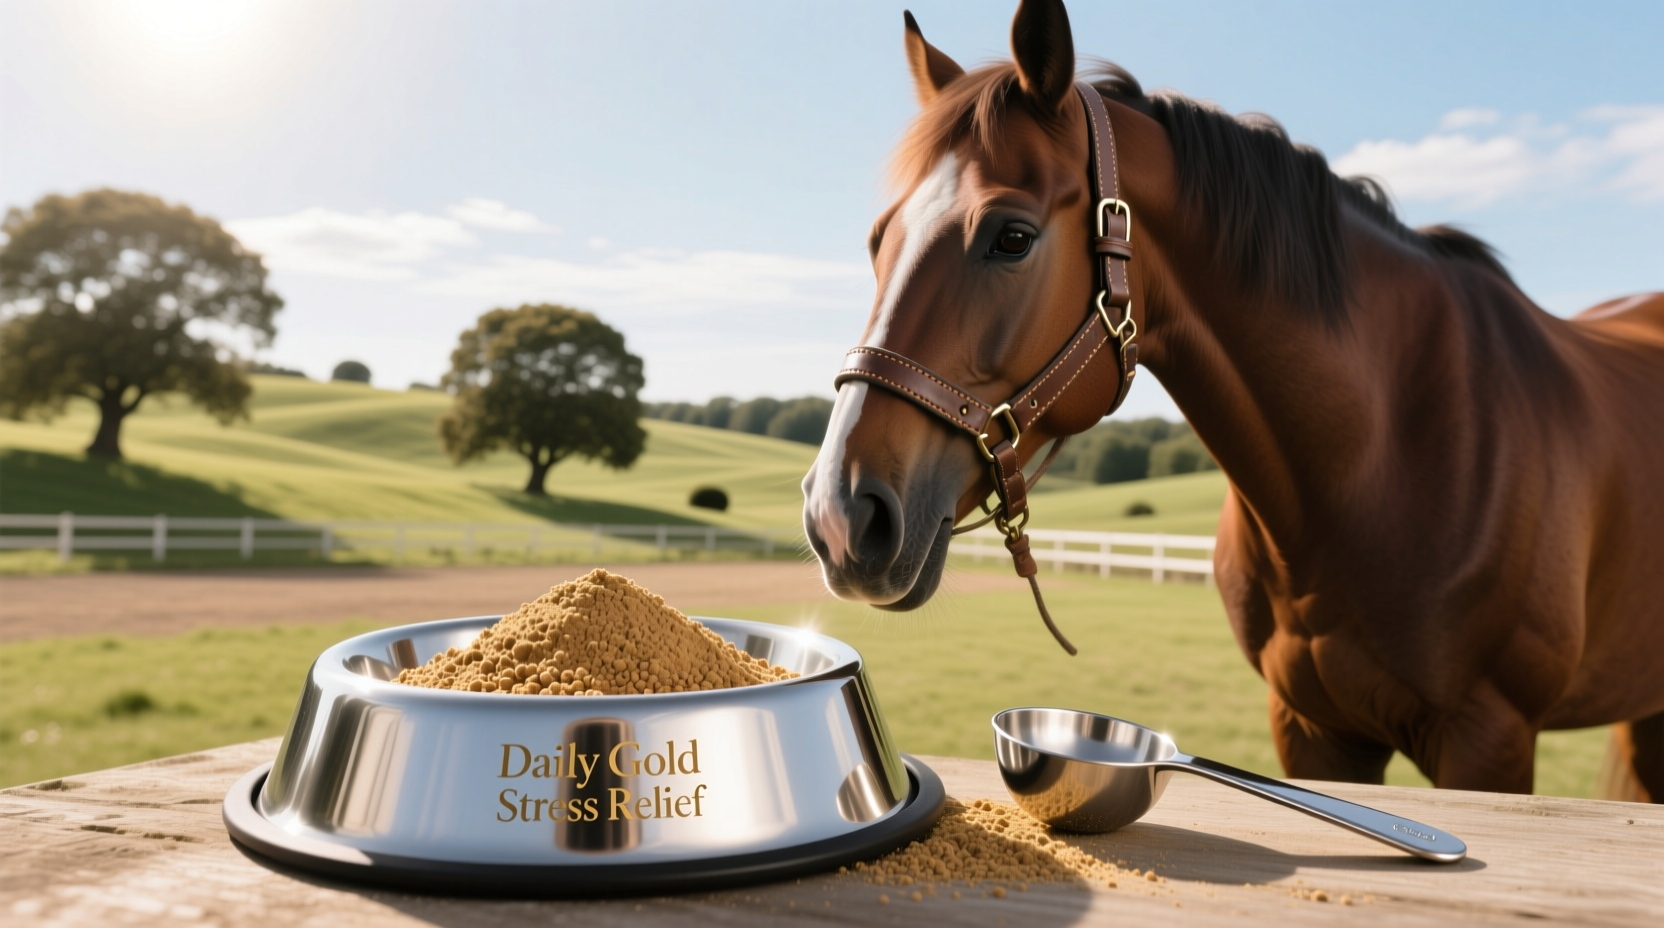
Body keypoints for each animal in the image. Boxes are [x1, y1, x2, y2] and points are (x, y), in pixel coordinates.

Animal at [800, 0, 1664, 801]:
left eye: (1011, 236)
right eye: (879, 240)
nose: (841, 516)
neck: (1385, 459)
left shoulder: (1489, 738)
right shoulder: (1312, 727)